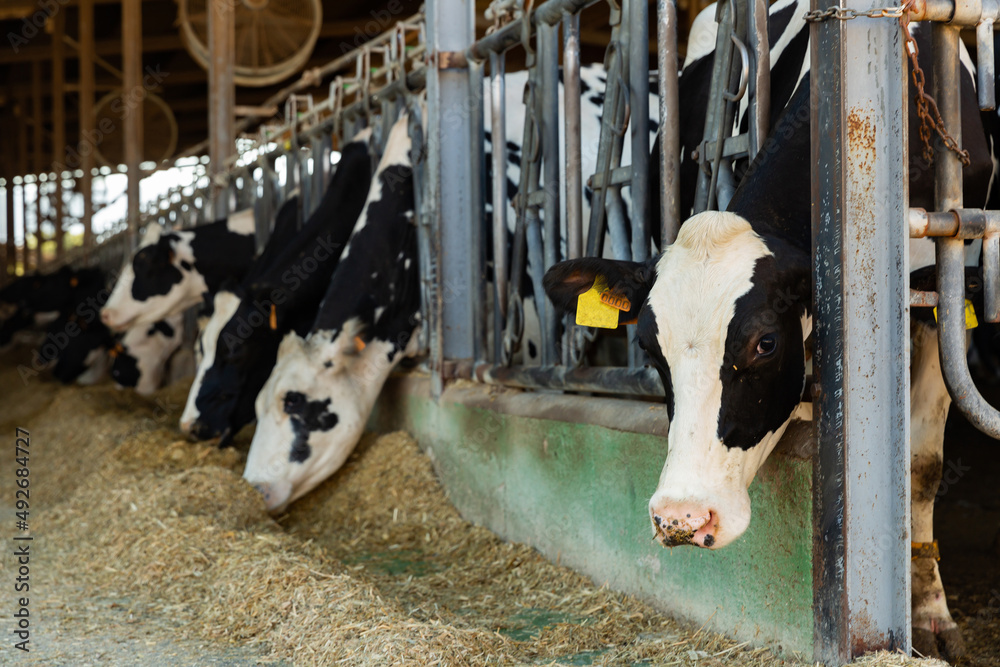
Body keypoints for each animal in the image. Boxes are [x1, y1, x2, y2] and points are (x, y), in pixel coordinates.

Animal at [543, 1, 994, 659]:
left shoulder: (946, 289)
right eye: (650, 348)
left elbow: (923, 465)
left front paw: (933, 616)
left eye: (764, 343)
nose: (681, 518)